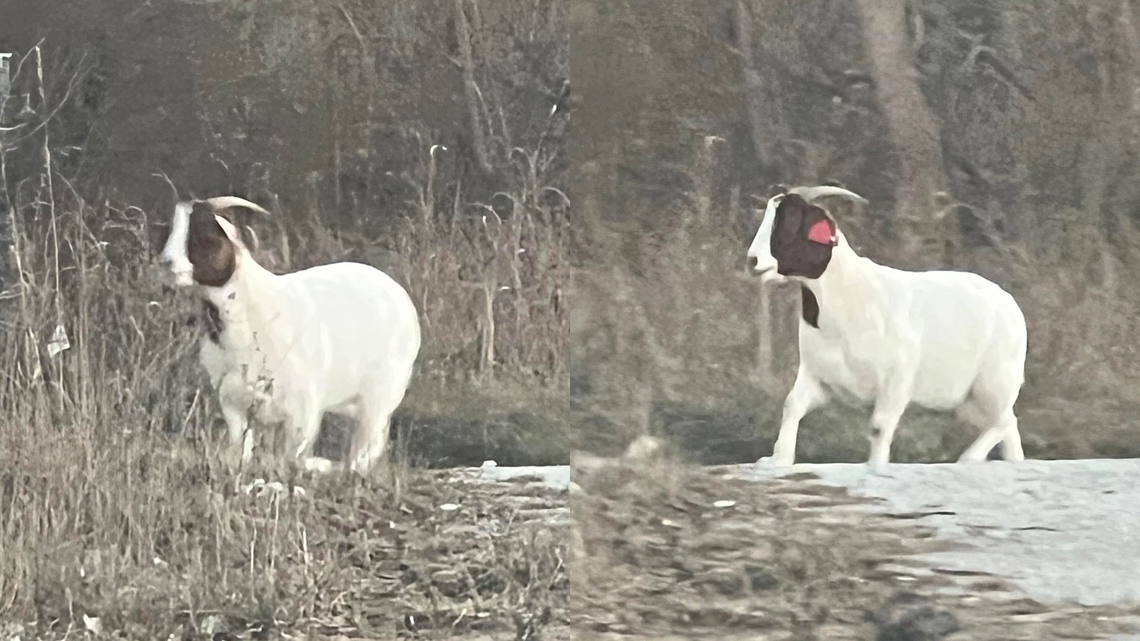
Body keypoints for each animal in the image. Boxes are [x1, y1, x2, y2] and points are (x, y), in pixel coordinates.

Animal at [158, 196, 421, 475]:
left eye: (205, 235)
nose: (166, 263)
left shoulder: (302, 412)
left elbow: (292, 459)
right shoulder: (233, 403)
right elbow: (241, 450)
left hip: (381, 397)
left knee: (366, 448)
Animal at [745, 185, 1027, 470]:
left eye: (791, 221)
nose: (753, 261)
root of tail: (1008, 300)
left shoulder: (896, 381)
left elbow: (879, 427)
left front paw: (875, 465)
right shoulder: (816, 374)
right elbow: (791, 406)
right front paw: (777, 459)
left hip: (994, 382)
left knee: (1004, 421)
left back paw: (970, 458)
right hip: (969, 400)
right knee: (1008, 428)